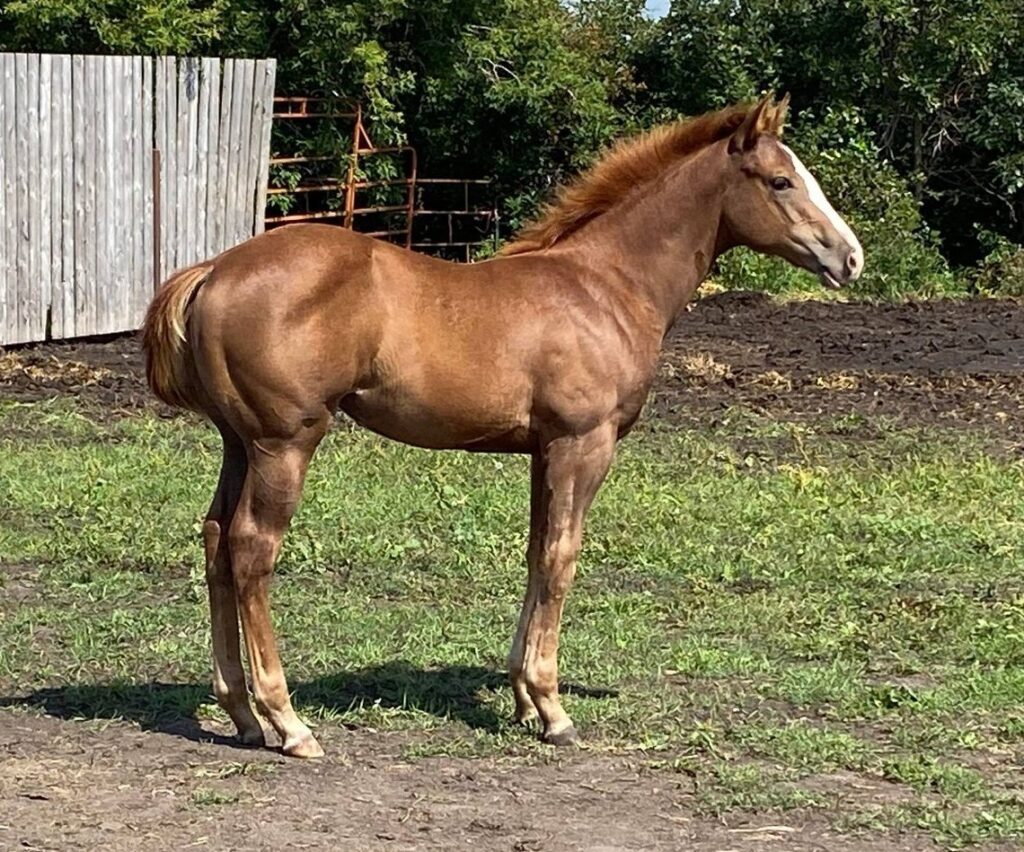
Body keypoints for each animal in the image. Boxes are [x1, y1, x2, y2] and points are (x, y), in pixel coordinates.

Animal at [143, 94, 863, 758]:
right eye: (781, 181)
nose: (850, 258)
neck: (603, 286)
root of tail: (215, 270)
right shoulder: (583, 443)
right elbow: (561, 557)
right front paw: (552, 708)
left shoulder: (545, 451)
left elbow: (535, 551)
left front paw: (523, 698)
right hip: (284, 443)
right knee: (251, 550)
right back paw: (288, 723)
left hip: (239, 443)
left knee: (215, 539)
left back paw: (239, 712)